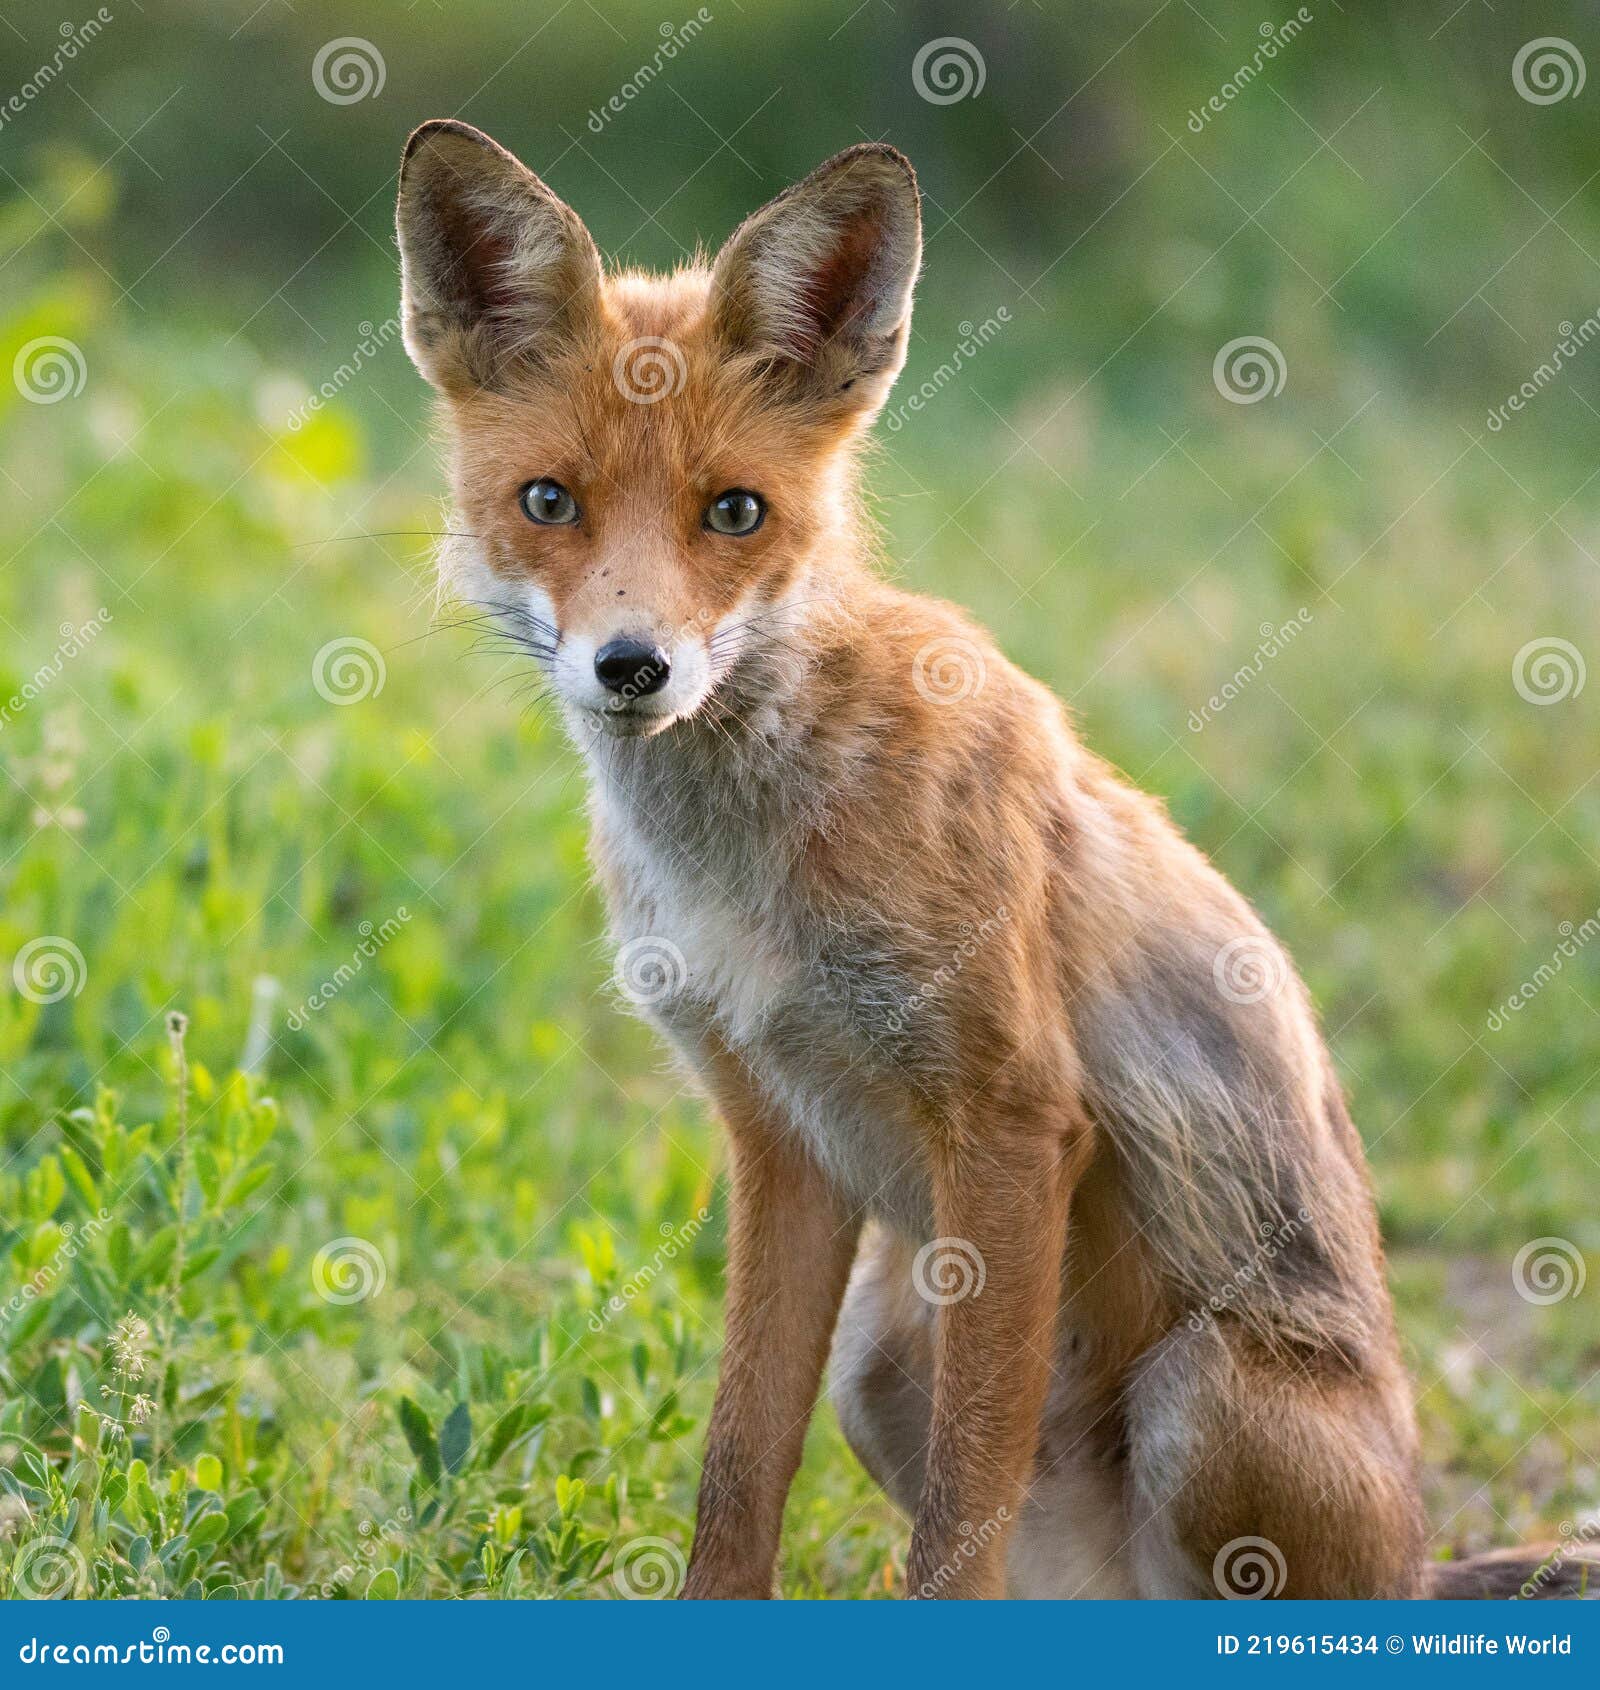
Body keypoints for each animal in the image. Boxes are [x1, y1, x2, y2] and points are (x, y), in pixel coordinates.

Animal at [395, 120, 1597, 1600]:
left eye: (734, 512)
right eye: (548, 501)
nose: (633, 667)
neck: (760, 855)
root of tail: (1417, 1566)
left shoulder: (1016, 1121)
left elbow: (954, 1529)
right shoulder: (776, 1137)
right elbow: (737, 1472)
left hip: (1202, 1389)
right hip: (880, 1356)